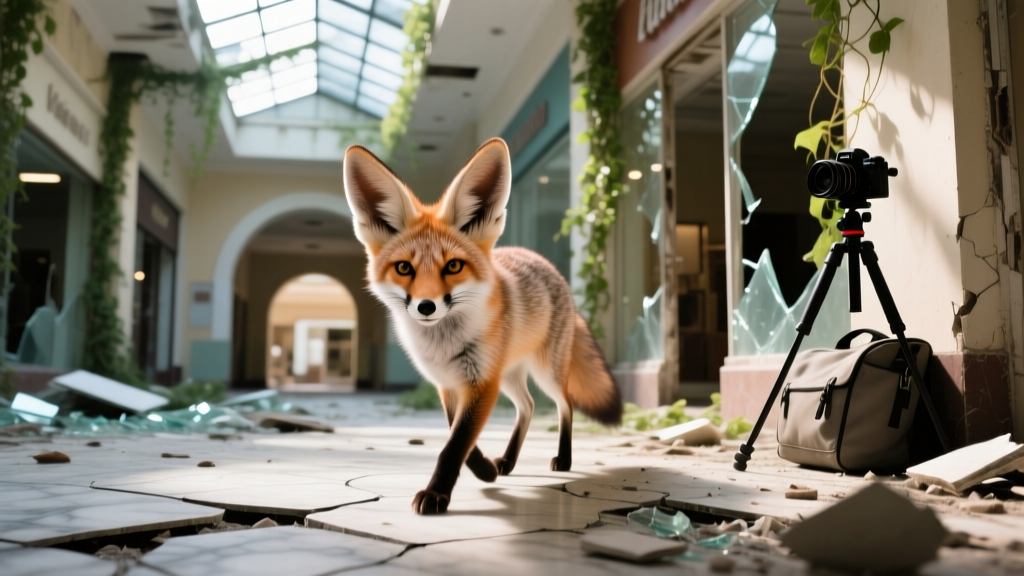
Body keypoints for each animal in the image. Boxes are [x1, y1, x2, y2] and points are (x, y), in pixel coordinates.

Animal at [343, 137, 622, 515]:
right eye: (404, 268)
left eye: (453, 266)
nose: (426, 306)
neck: (442, 345)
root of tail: (546, 264)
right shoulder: (450, 384)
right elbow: (459, 437)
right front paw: (485, 470)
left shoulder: (481, 381)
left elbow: (454, 445)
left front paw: (437, 493)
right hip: (510, 375)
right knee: (528, 406)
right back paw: (507, 461)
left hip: (544, 372)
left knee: (565, 404)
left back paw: (563, 459)